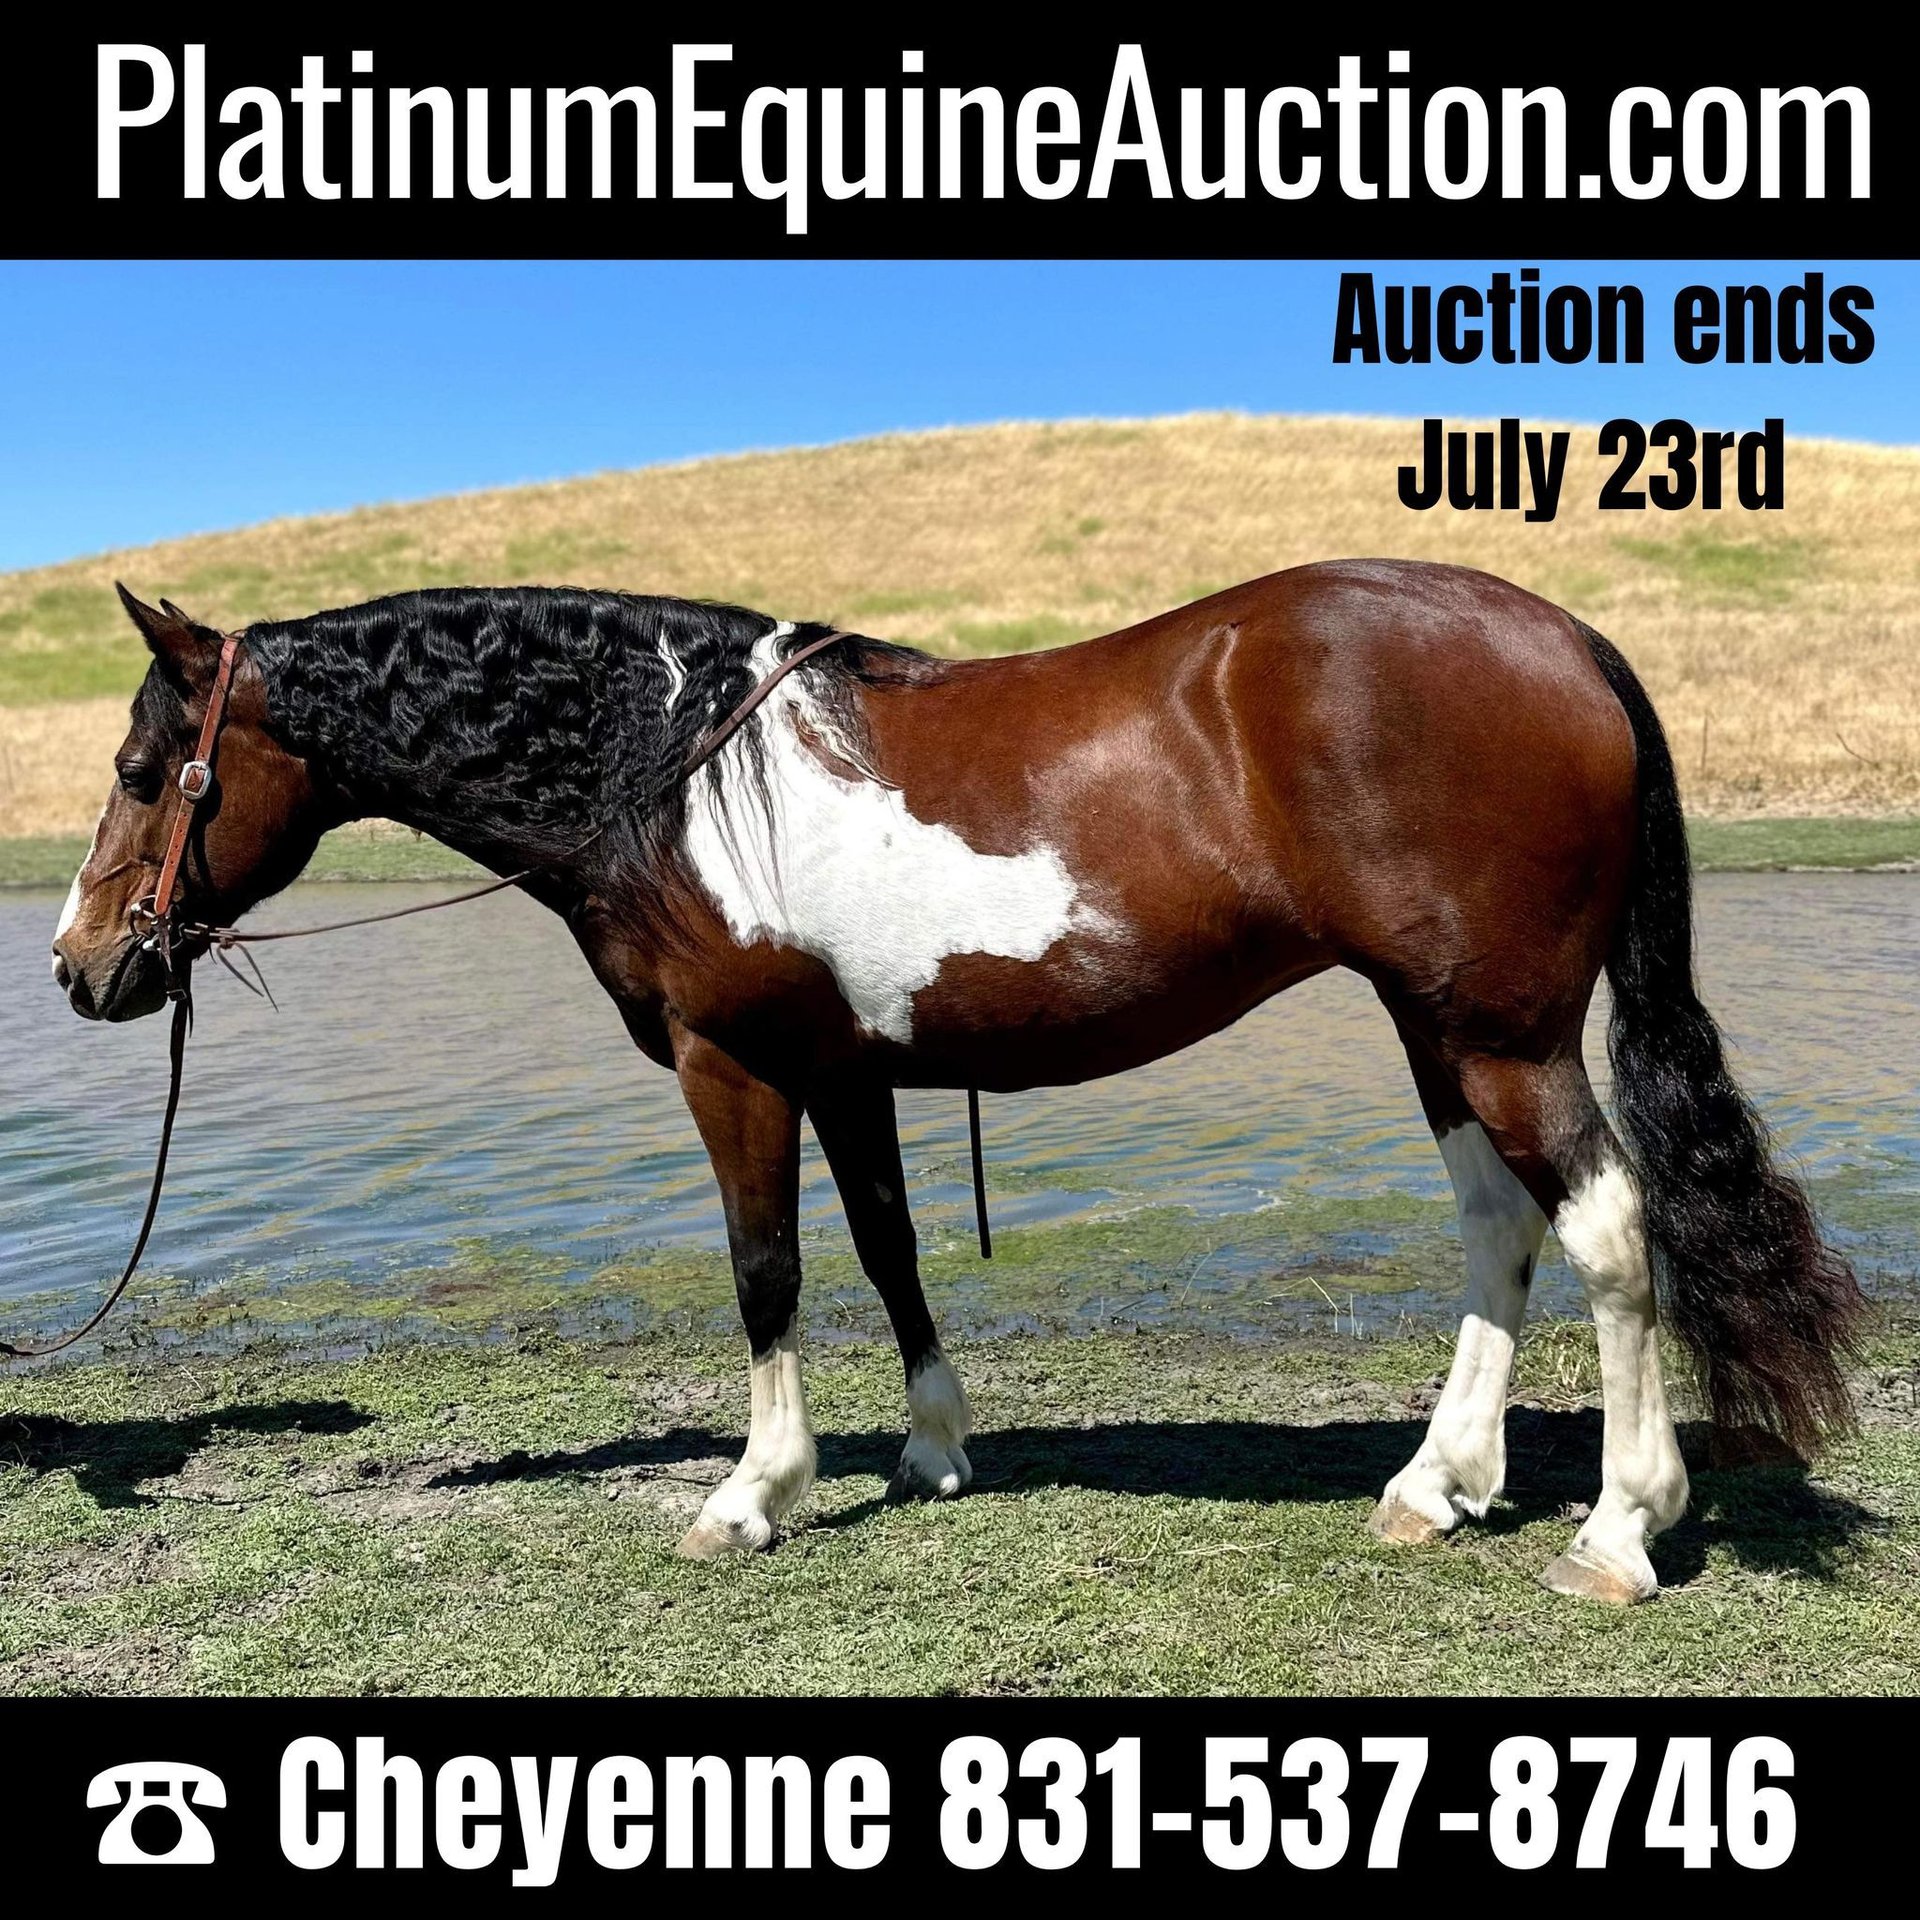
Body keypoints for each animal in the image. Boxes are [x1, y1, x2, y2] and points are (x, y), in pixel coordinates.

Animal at [50, 561, 1862, 1603]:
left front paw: (753, 1497)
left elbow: (766, 1272)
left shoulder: (732, 1070)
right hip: (1438, 1026)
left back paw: (1619, 1532)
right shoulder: (843, 1070)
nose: (80, 966)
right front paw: (928, 1453)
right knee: (1501, 1226)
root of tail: (1565, 637)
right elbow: (886, 1251)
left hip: (1502, 1031)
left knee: (1611, 1230)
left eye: (145, 769)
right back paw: (1437, 1487)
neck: (669, 768)